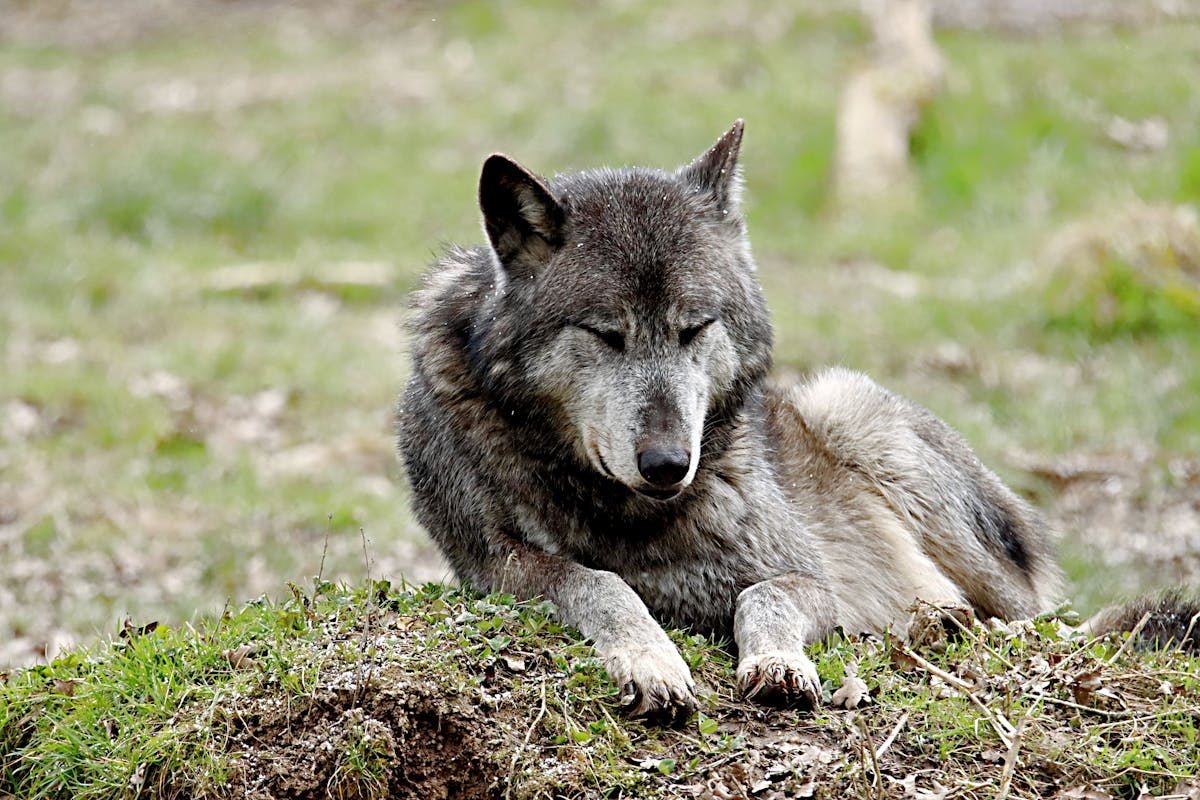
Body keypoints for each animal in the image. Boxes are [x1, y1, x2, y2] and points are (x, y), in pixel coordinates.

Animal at [399, 120, 1124, 718]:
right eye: (606, 335)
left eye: (694, 328)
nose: (667, 464)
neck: (631, 513)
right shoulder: (497, 570)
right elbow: (600, 584)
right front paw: (651, 660)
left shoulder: (815, 581)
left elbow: (763, 597)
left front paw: (778, 663)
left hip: (846, 408)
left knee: (1038, 618)